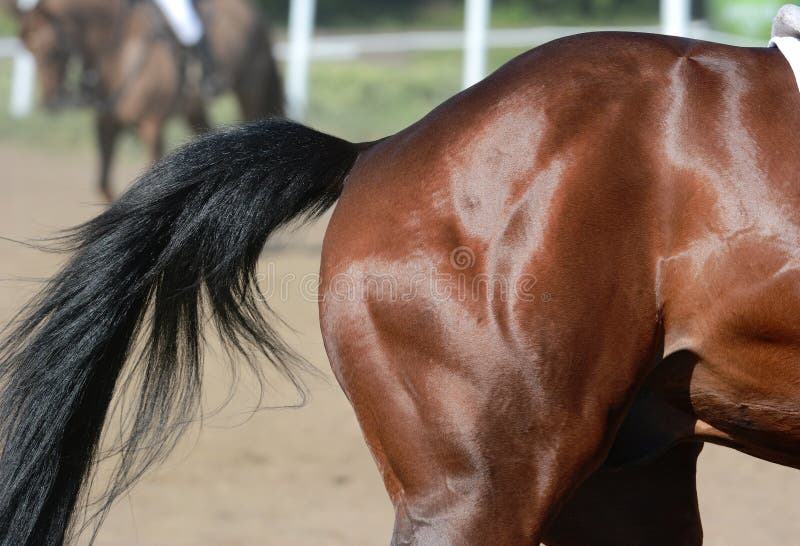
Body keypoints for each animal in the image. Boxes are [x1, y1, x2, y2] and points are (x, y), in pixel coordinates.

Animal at [15, 0, 284, 201]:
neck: (121, 50)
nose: (51, 103)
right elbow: (103, 184)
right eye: (28, 51)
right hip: (194, 107)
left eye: (52, 51)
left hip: (250, 92)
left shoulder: (152, 125)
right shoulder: (106, 124)